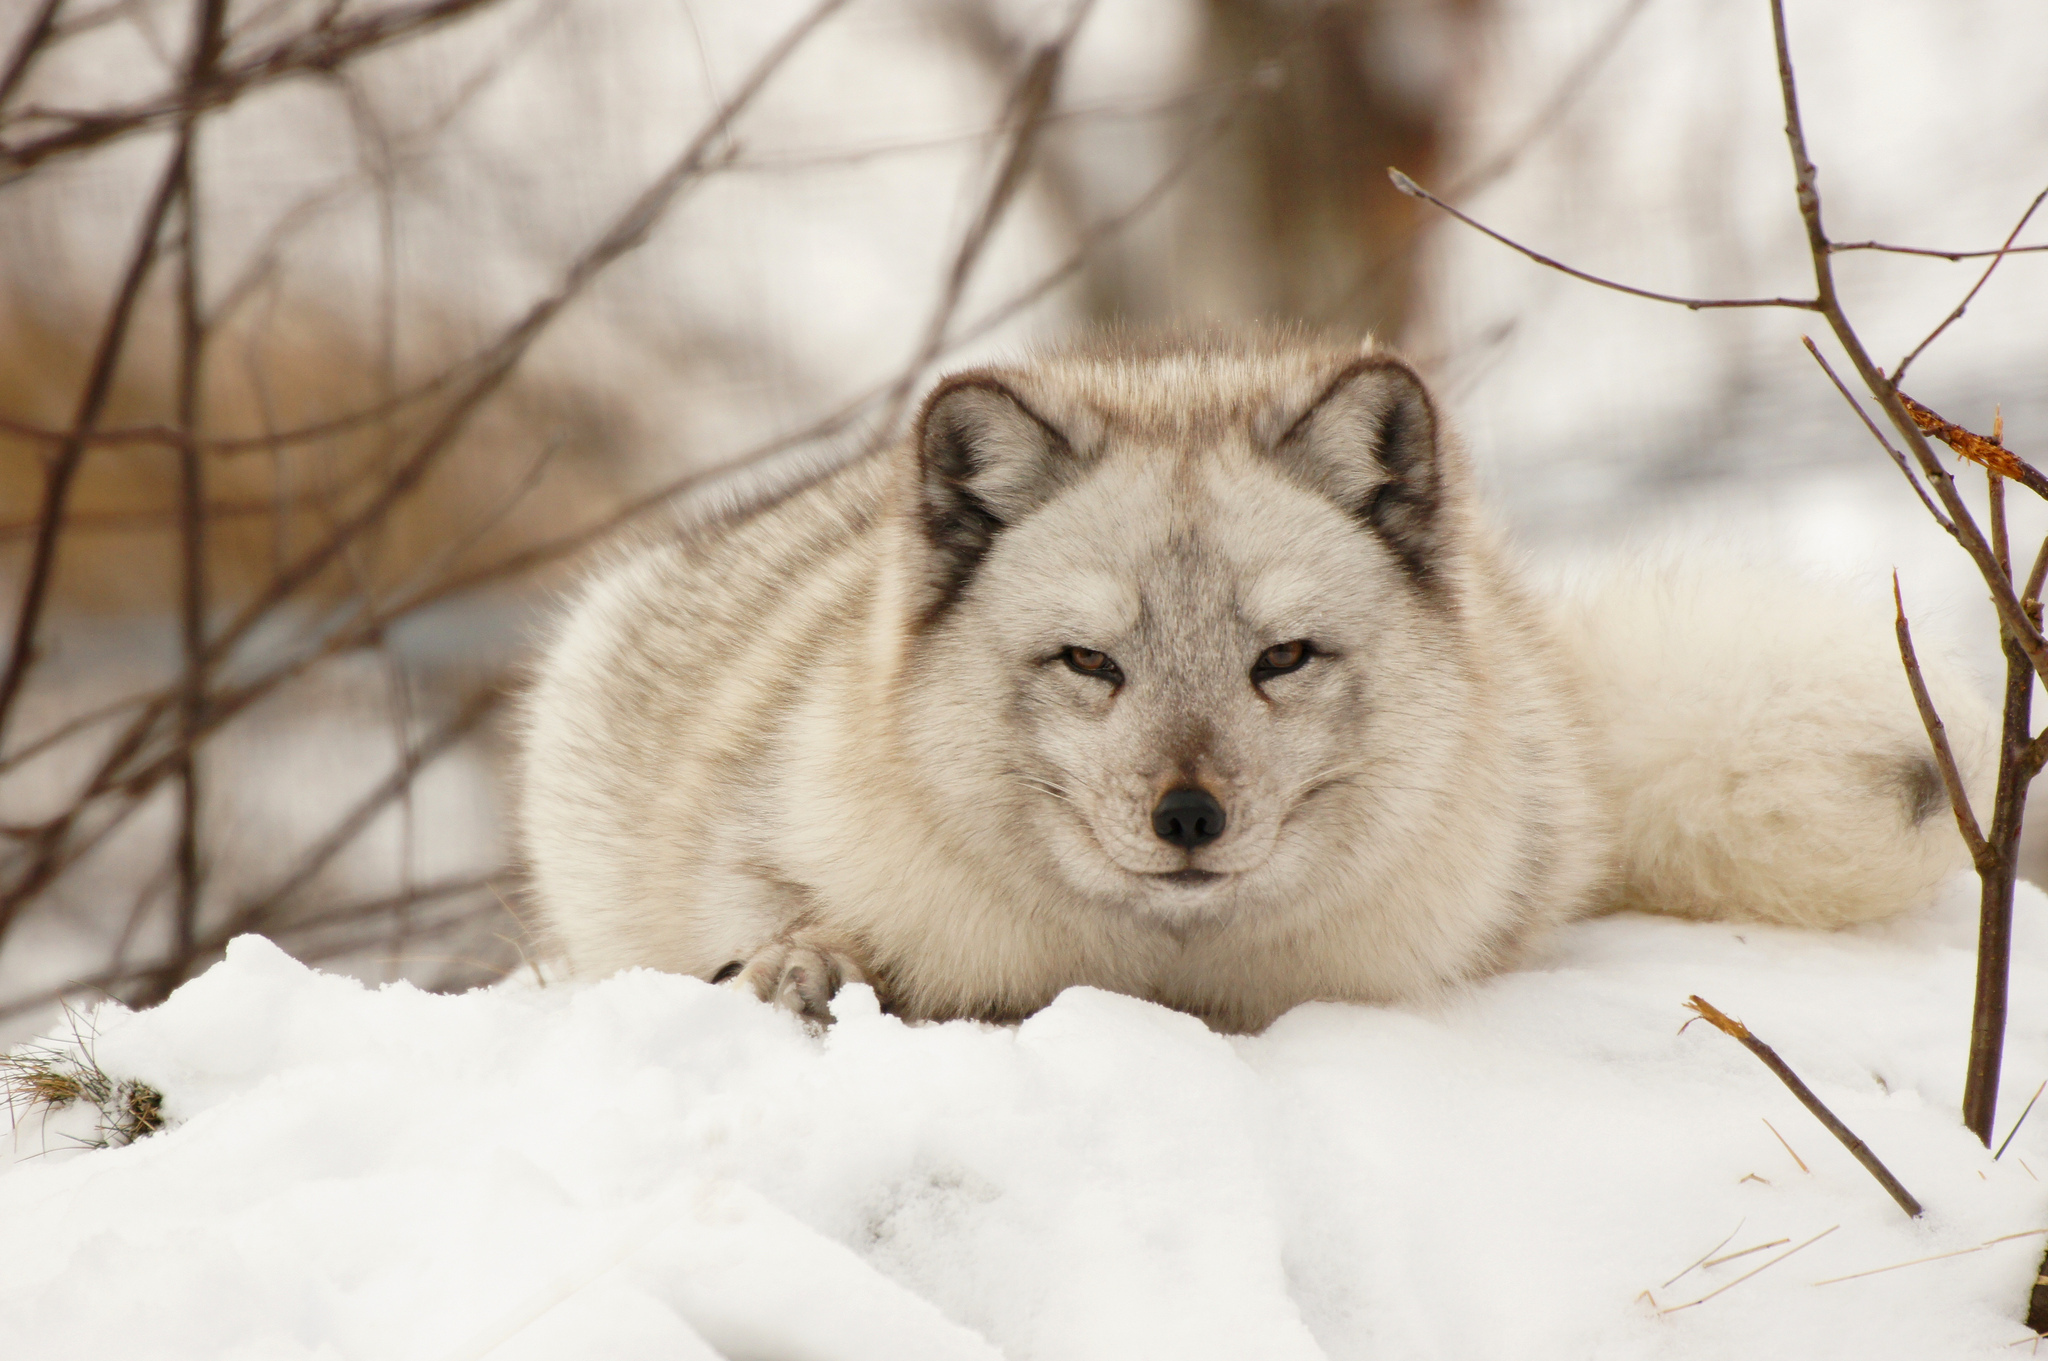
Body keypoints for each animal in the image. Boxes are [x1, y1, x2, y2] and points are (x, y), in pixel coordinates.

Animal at [517, 331, 1993, 1032]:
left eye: (1280, 657)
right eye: (1089, 660)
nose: (1187, 816)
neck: (1146, 967)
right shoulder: (751, 820)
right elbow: (770, 909)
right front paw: (804, 960)